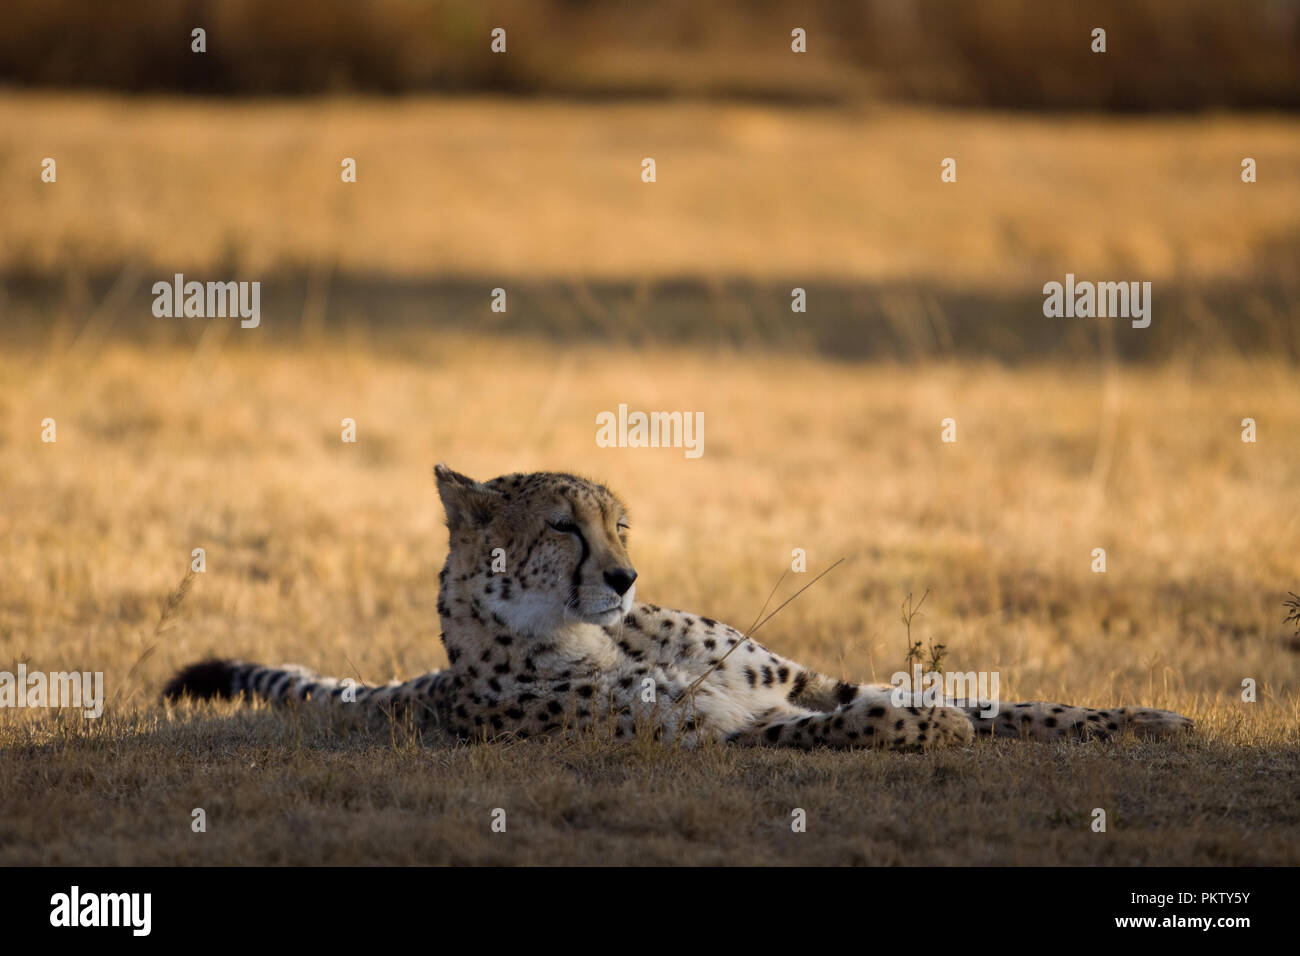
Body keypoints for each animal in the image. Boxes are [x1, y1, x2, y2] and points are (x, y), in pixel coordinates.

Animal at [163, 464, 1194, 750]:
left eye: (619, 523)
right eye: (563, 527)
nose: (624, 578)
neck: (605, 639)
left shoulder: (800, 679)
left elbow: (995, 701)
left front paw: (1143, 718)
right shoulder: (709, 735)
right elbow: (856, 723)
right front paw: (929, 732)